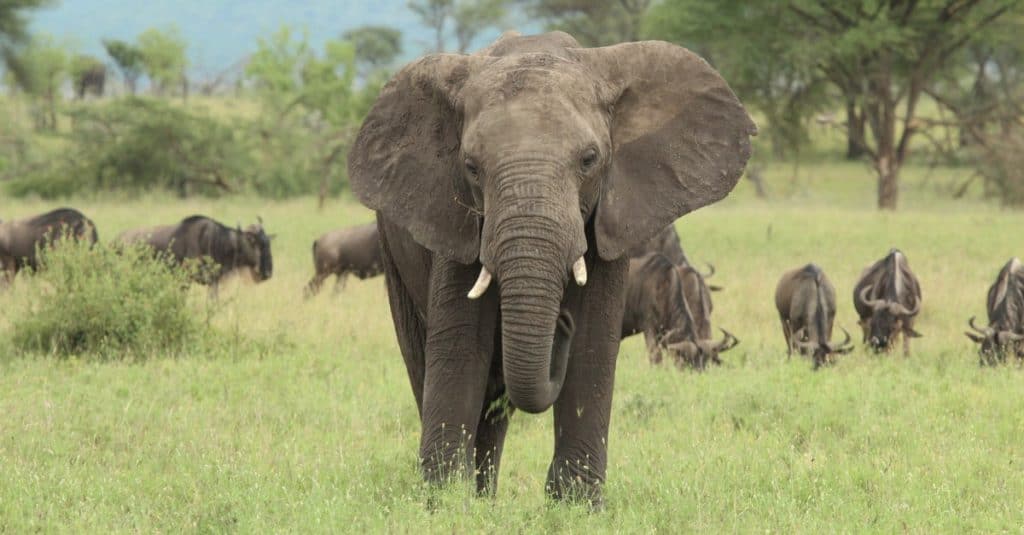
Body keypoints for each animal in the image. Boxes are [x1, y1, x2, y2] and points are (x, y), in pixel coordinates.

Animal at [348, 31, 755, 504]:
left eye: (590, 159)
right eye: (471, 167)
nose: (561, 322)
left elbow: (593, 341)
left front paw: (575, 505)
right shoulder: (453, 220)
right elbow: (460, 345)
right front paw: (445, 501)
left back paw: (485, 496)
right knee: (427, 362)